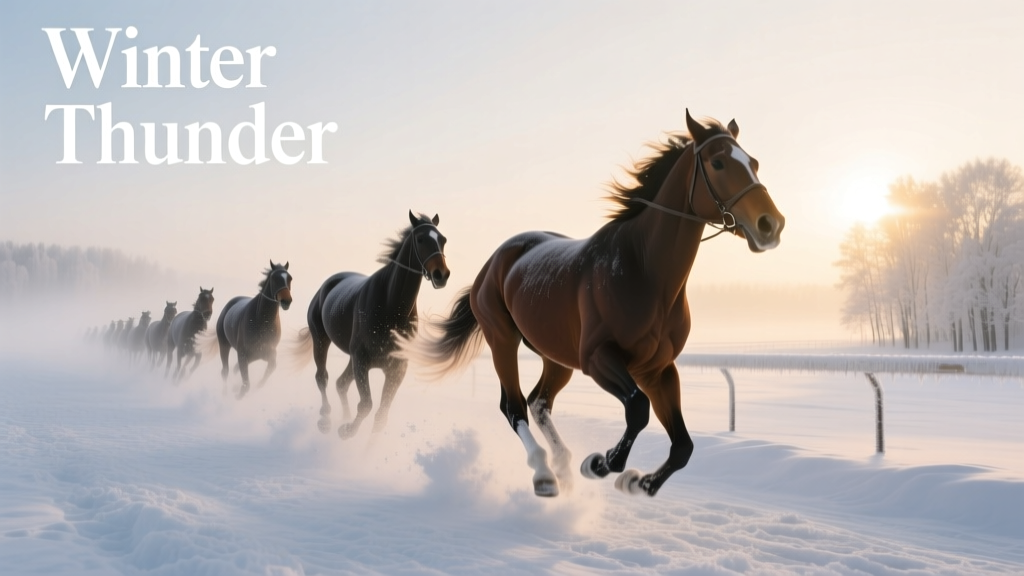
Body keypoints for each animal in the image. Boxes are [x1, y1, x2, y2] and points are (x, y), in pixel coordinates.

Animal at [216, 262, 292, 399]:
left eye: (290, 278)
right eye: (274, 278)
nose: (286, 301)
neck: (262, 322)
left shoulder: (266, 352)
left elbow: (271, 367)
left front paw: (256, 386)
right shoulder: (242, 353)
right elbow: (246, 383)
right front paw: (239, 394)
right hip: (224, 344)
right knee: (225, 371)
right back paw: (225, 393)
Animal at [298, 211, 450, 438]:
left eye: (443, 240)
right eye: (421, 239)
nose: (442, 275)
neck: (391, 308)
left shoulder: (396, 368)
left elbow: (380, 416)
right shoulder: (362, 360)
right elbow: (366, 404)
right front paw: (347, 430)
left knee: (341, 384)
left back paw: (342, 417)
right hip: (321, 339)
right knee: (322, 377)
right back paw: (326, 419)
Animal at [405, 111, 785, 497]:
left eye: (753, 162)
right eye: (718, 162)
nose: (770, 224)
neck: (644, 271)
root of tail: (493, 262)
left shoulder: (658, 369)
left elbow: (682, 445)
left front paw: (639, 482)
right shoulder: (597, 357)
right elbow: (638, 408)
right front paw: (602, 462)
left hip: (556, 355)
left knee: (539, 401)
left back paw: (562, 465)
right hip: (502, 339)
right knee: (514, 406)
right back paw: (545, 473)